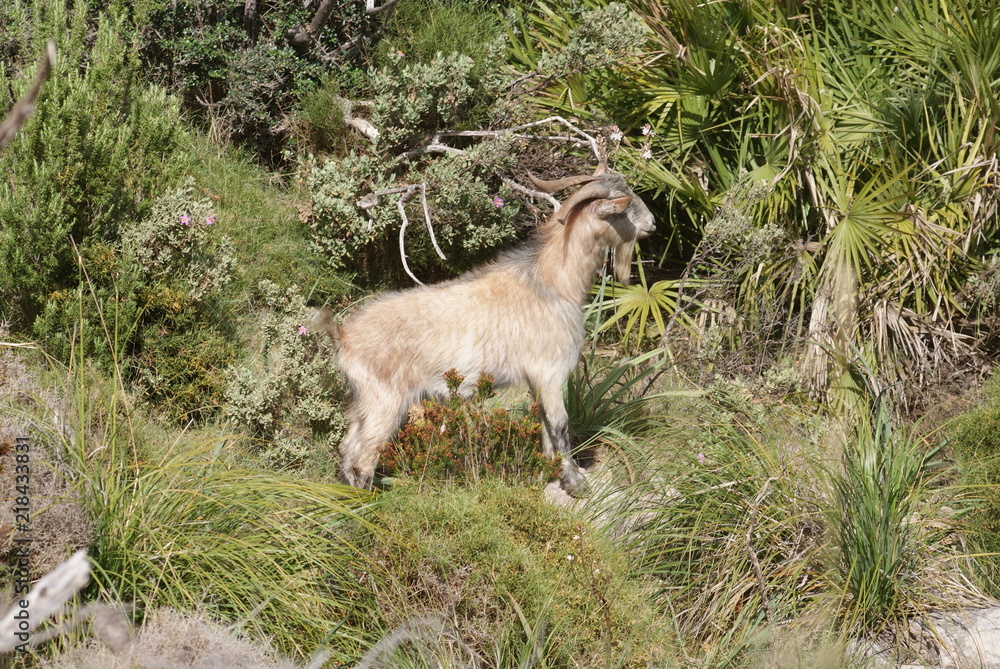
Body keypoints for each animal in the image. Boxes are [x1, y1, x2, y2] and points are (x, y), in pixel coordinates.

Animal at [313, 162, 656, 496]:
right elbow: (559, 424)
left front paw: (549, 473)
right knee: (364, 456)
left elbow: (544, 423)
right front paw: (575, 483)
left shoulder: (536, 378)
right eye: (626, 204)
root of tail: (343, 335)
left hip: (363, 400)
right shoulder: (551, 370)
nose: (652, 223)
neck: (552, 282)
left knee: (348, 447)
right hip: (385, 400)